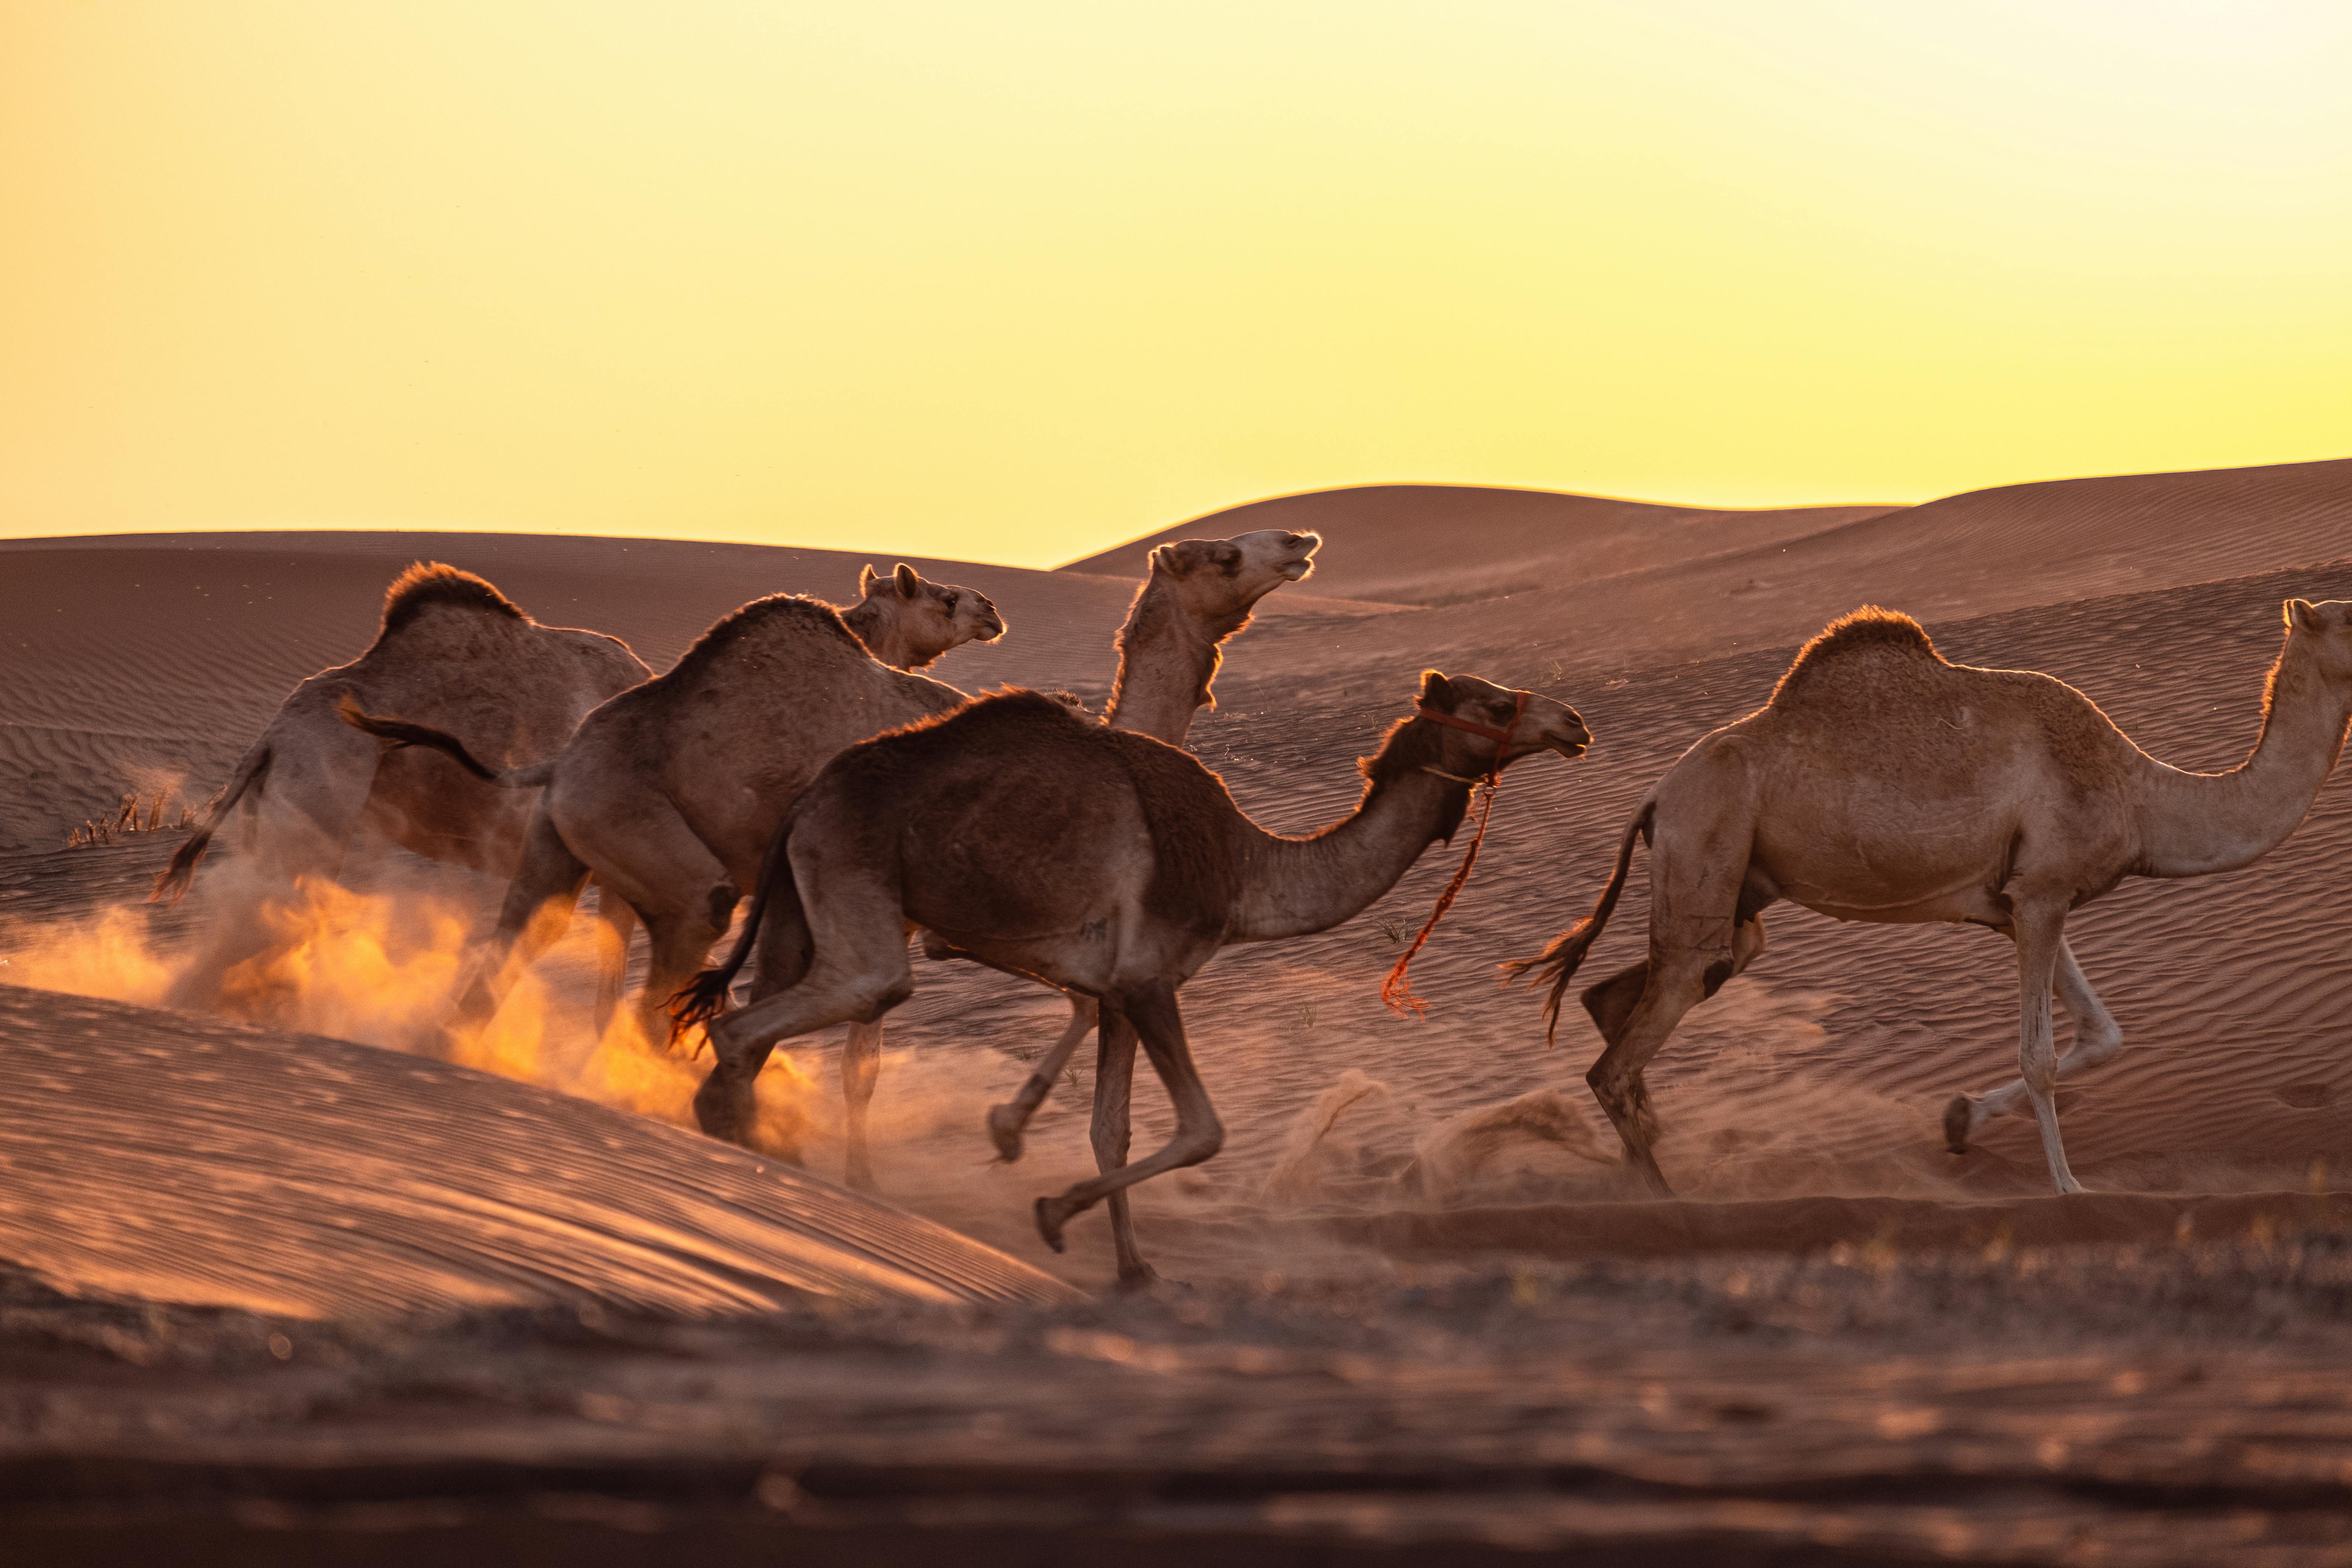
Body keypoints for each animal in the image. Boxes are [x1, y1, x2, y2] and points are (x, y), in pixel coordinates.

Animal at [346, 534, 1315, 1189]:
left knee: (513, 940)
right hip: (656, 851)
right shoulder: (884, 901)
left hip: (559, 843)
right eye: (1225, 555)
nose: (1300, 544)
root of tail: (560, 757)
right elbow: (859, 1057)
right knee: (667, 965)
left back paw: (458, 1051)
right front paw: (869, 1166)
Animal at [672, 672, 1590, 1283]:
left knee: (762, 1008)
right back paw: (751, 1162)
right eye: (1496, 704)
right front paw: (1054, 1213)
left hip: (802, 901)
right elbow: (1201, 1130)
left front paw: (1131, 1266)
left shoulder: (1115, 988)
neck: (1244, 870)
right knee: (803, 1007)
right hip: (856, 880)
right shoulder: (1150, 978)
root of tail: (809, 796)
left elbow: (1109, 1126)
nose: (1575, 722)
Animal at [1510, 600, 2352, 1199]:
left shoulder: (2018, 902)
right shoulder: (2043, 894)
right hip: (1706, 840)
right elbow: (2042, 1056)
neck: (2142, 797)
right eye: (2351, 615)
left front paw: (1957, 1120)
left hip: (1736, 895)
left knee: (1629, 994)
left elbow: (2102, 1034)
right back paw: (1664, 1199)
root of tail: (1656, 795)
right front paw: (2068, 1187)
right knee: (1630, 1041)